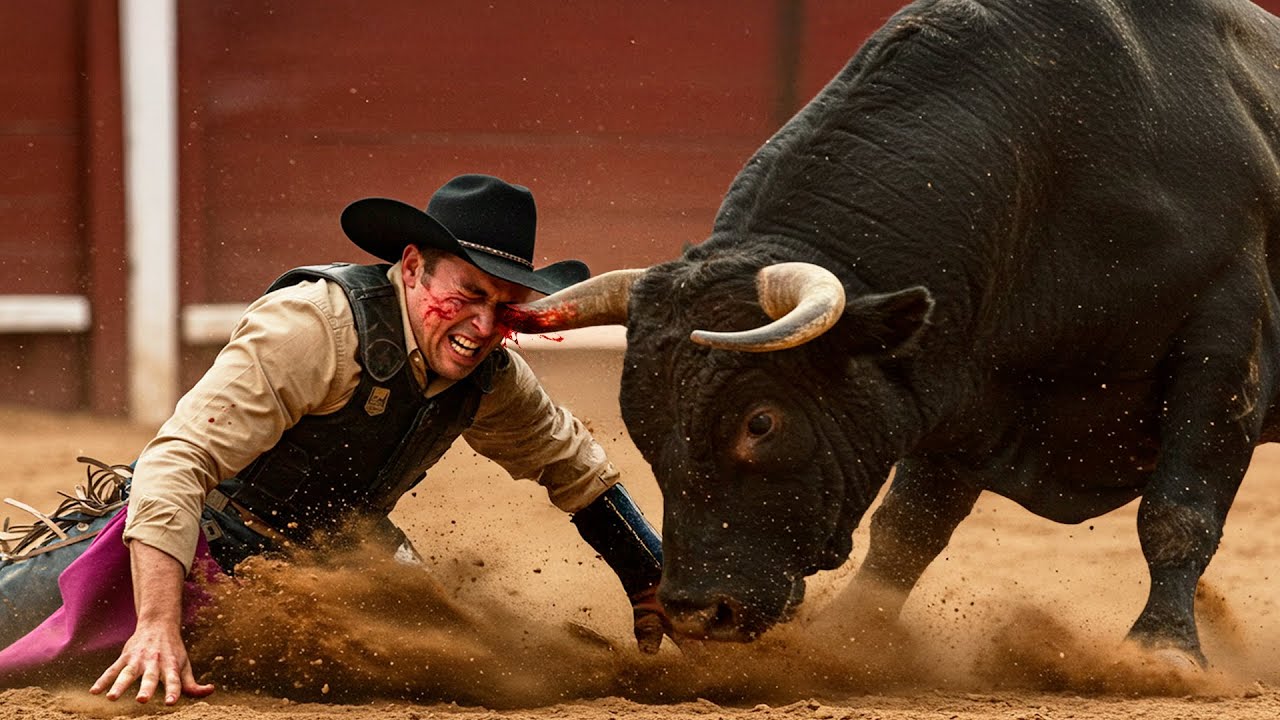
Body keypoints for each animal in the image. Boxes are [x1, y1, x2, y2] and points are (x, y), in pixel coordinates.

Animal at [504, 0, 1280, 667]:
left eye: (762, 421)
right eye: (640, 424)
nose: (698, 614)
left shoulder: (1221, 344)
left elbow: (1177, 510)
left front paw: (1164, 651)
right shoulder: (959, 385)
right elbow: (910, 528)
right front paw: (852, 637)